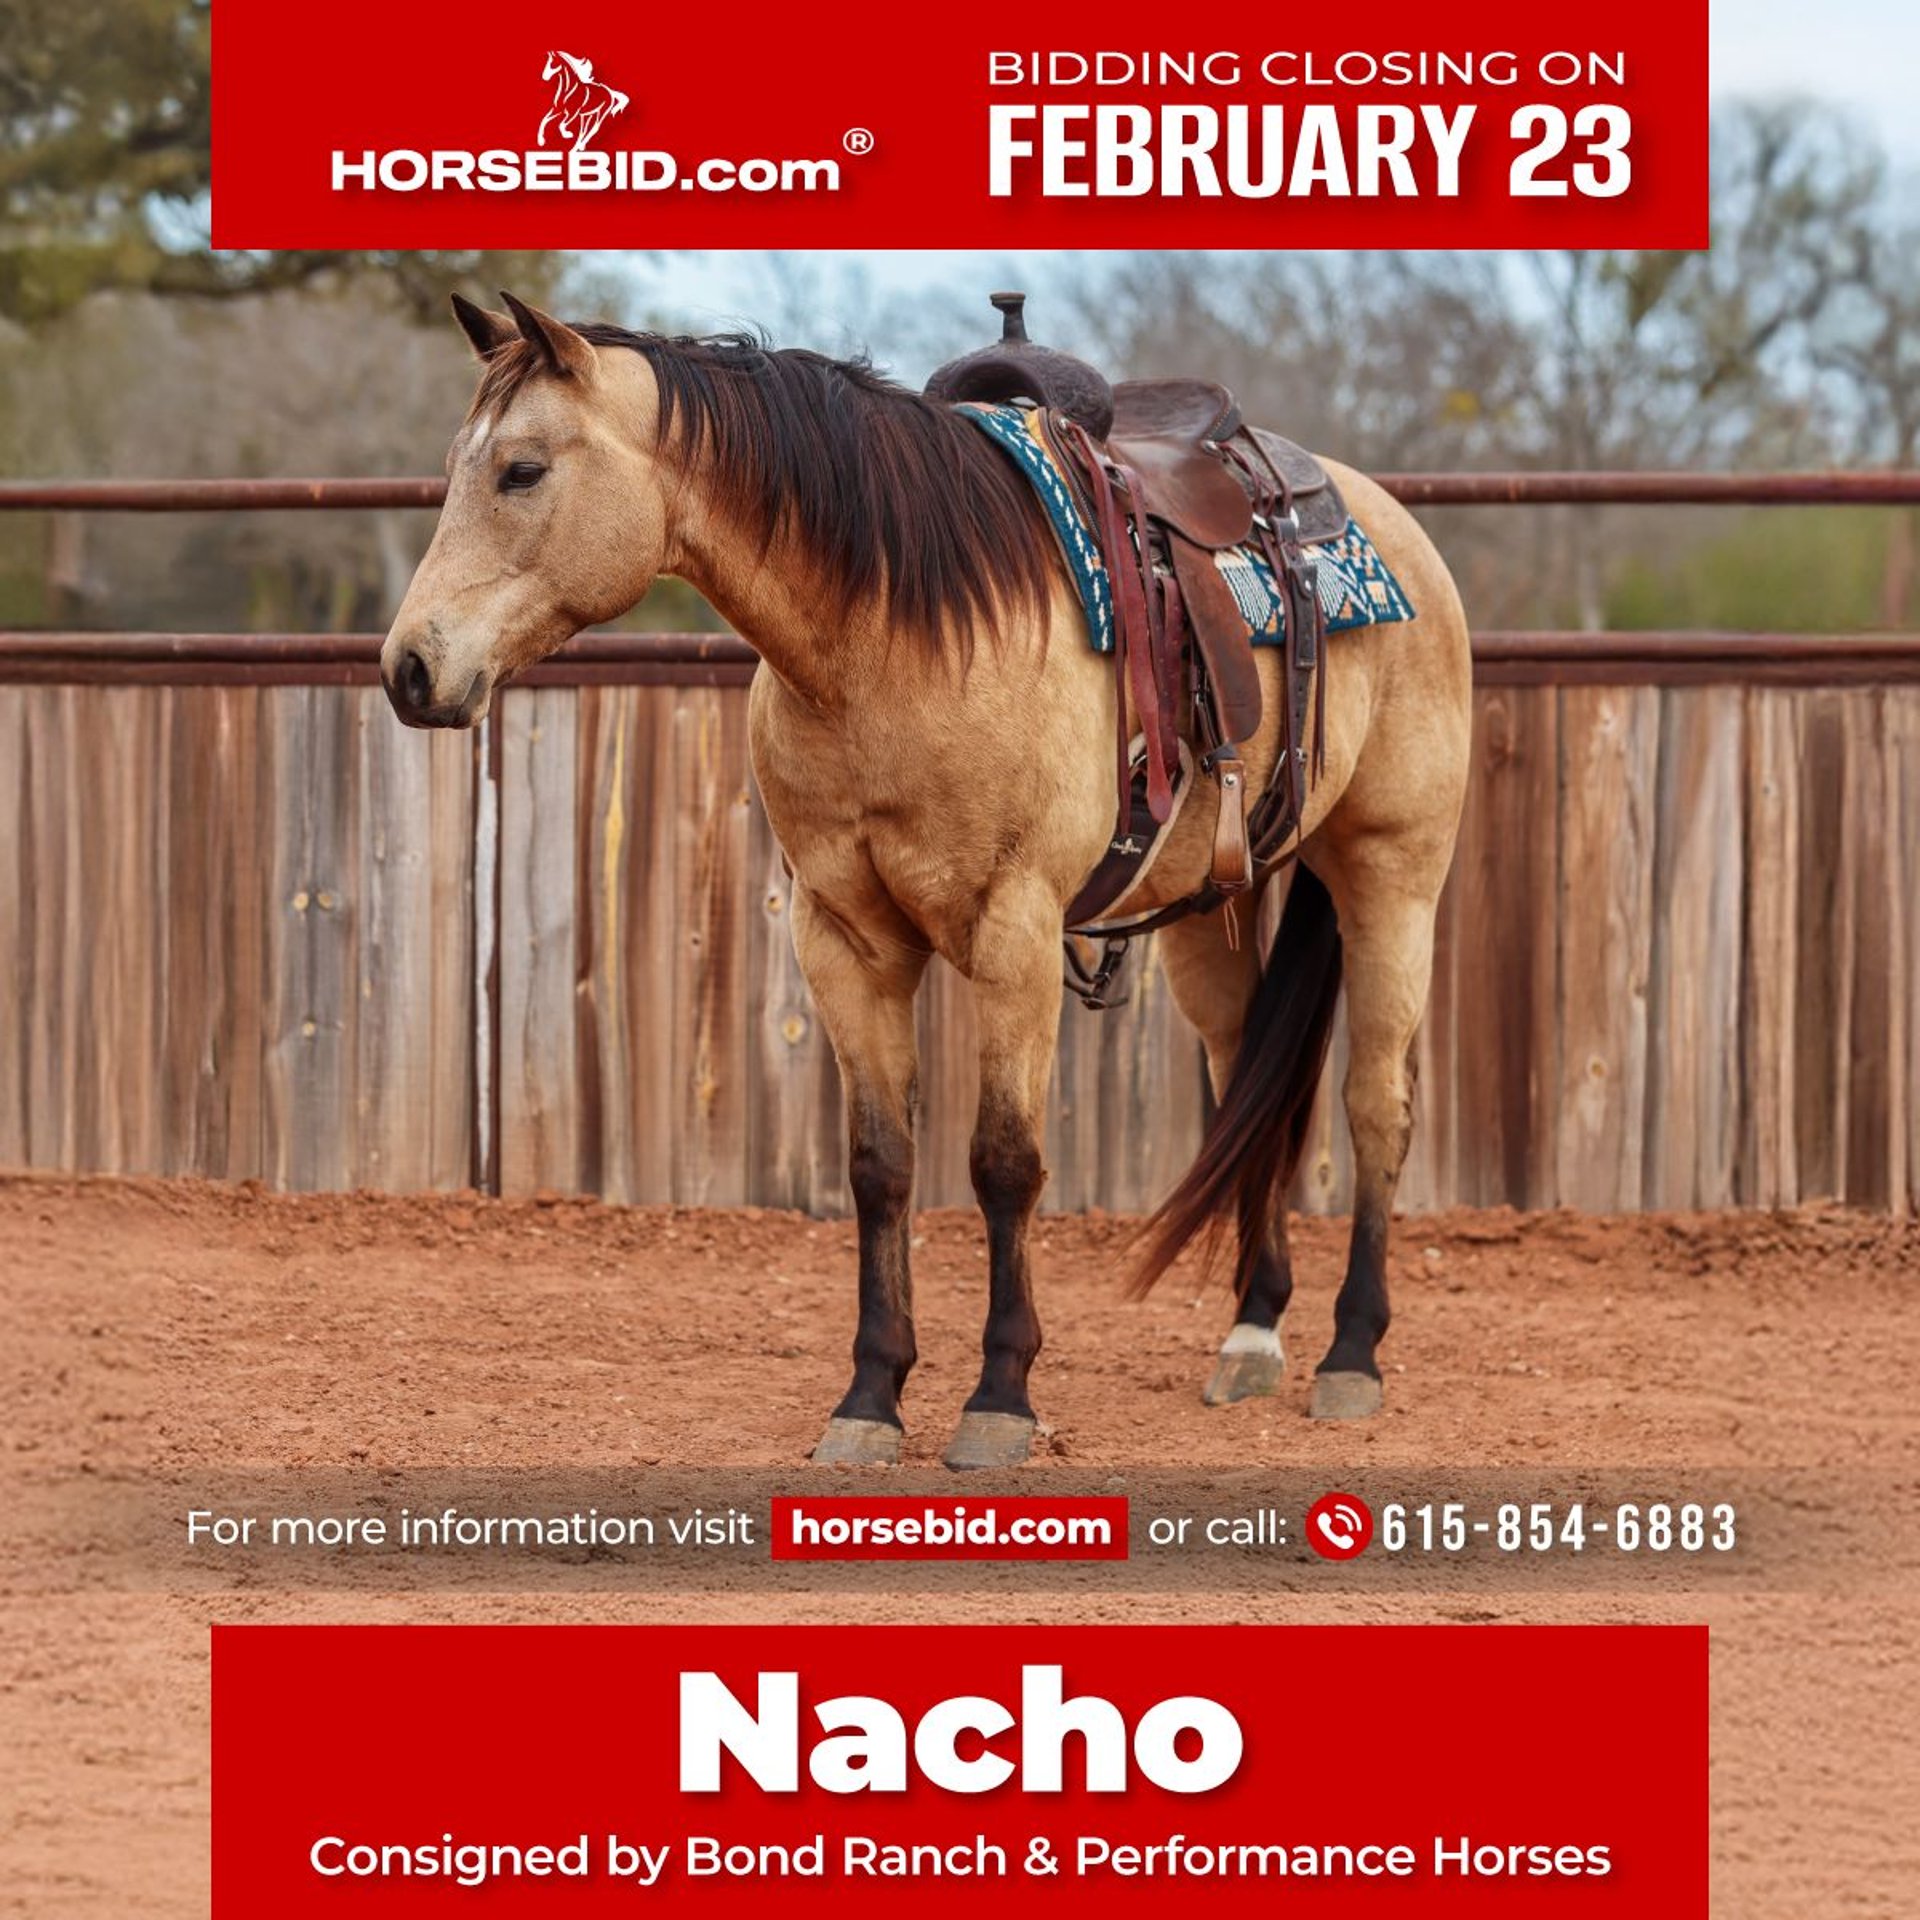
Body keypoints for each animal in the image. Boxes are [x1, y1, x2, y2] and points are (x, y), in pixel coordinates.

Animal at [380, 292, 1474, 1470]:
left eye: (523, 470)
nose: (410, 668)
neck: (895, 640)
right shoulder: (843, 938)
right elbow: (880, 1165)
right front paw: (870, 1395)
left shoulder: (1015, 936)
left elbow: (1004, 1163)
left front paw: (999, 1395)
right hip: (1210, 909)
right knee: (1249, 1088)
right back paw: (1254, 1333)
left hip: (1393, 873)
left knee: (1377, 1102)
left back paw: (1351, 1353)